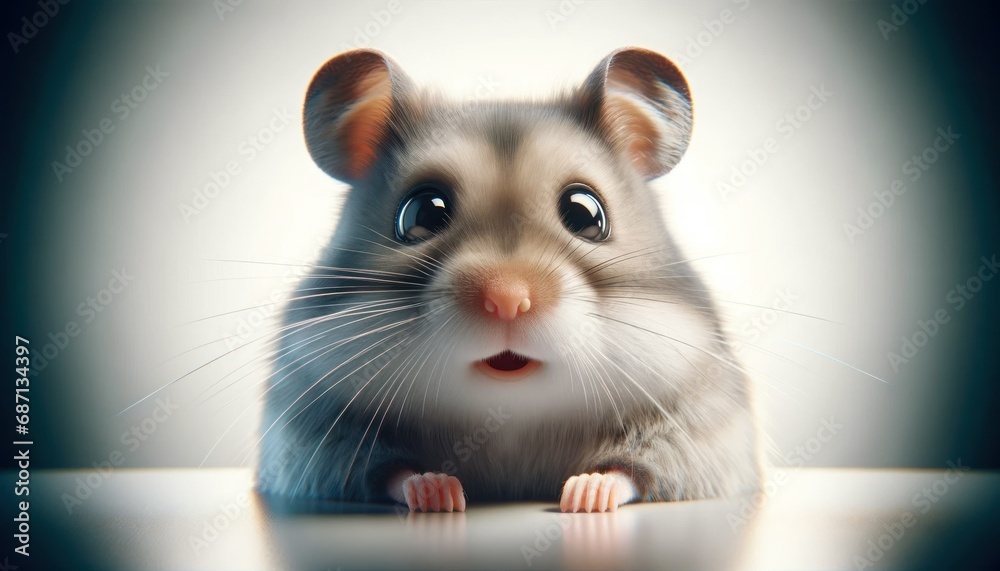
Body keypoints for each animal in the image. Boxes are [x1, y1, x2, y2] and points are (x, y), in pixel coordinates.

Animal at [256, 47, 761, 513]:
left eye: (586, 214)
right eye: (420, 214)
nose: (507, 299)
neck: (506, 416)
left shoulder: (696, 430)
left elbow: (631, 471)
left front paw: (581, 496)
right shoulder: (317, 432)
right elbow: (390, 471)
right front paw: (441, 493)